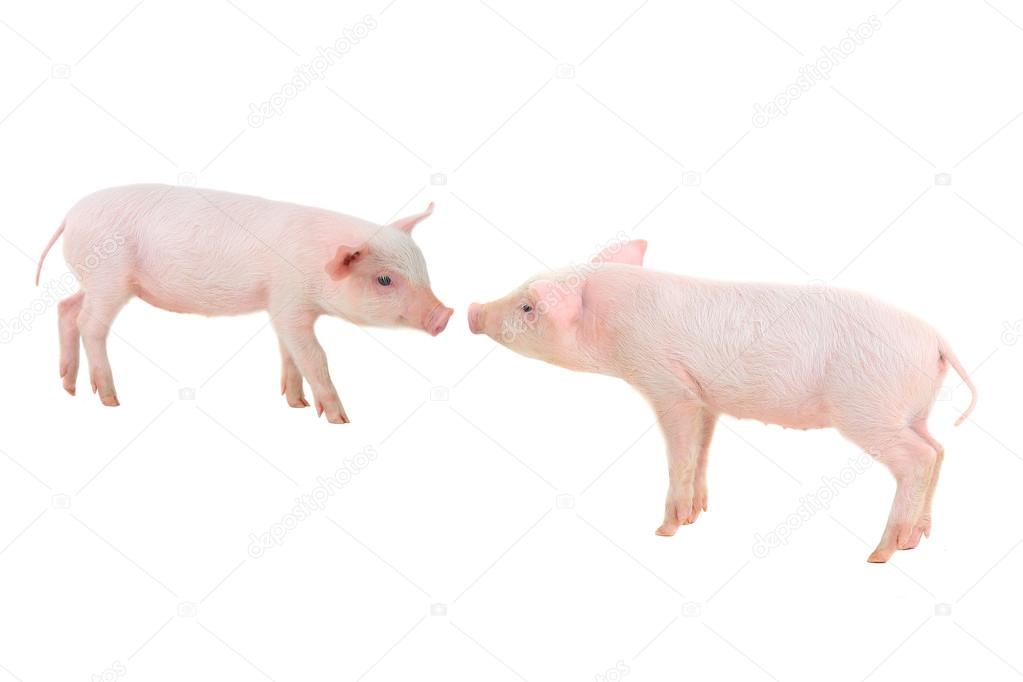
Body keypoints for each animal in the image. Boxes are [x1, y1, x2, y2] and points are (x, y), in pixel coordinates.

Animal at [35, 184, 453, 422]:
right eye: (384, 279)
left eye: (424, 269)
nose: (445, 315)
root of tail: (71, 215)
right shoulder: (289, 299)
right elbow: (314, 356)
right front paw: (341, 420)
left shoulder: (279, 306)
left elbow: (289, 353)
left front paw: (297, 405)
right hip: (111, 279)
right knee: (90, 323)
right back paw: (111, 400)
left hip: (93, 281)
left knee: (66, 308)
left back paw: (68, 388)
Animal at [467, 240, 977, 563]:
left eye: (528, 307)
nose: (473, 310)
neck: (612, 324)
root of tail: (936, 340)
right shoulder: (704, 398)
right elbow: (701, 451)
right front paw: (697, 516)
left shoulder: (666, 385)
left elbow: (679, 454)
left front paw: (665, 531)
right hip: (913, 411)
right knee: (938, 450)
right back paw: (916, 540)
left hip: (868, 409)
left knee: (917, 459)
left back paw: (881, 554)